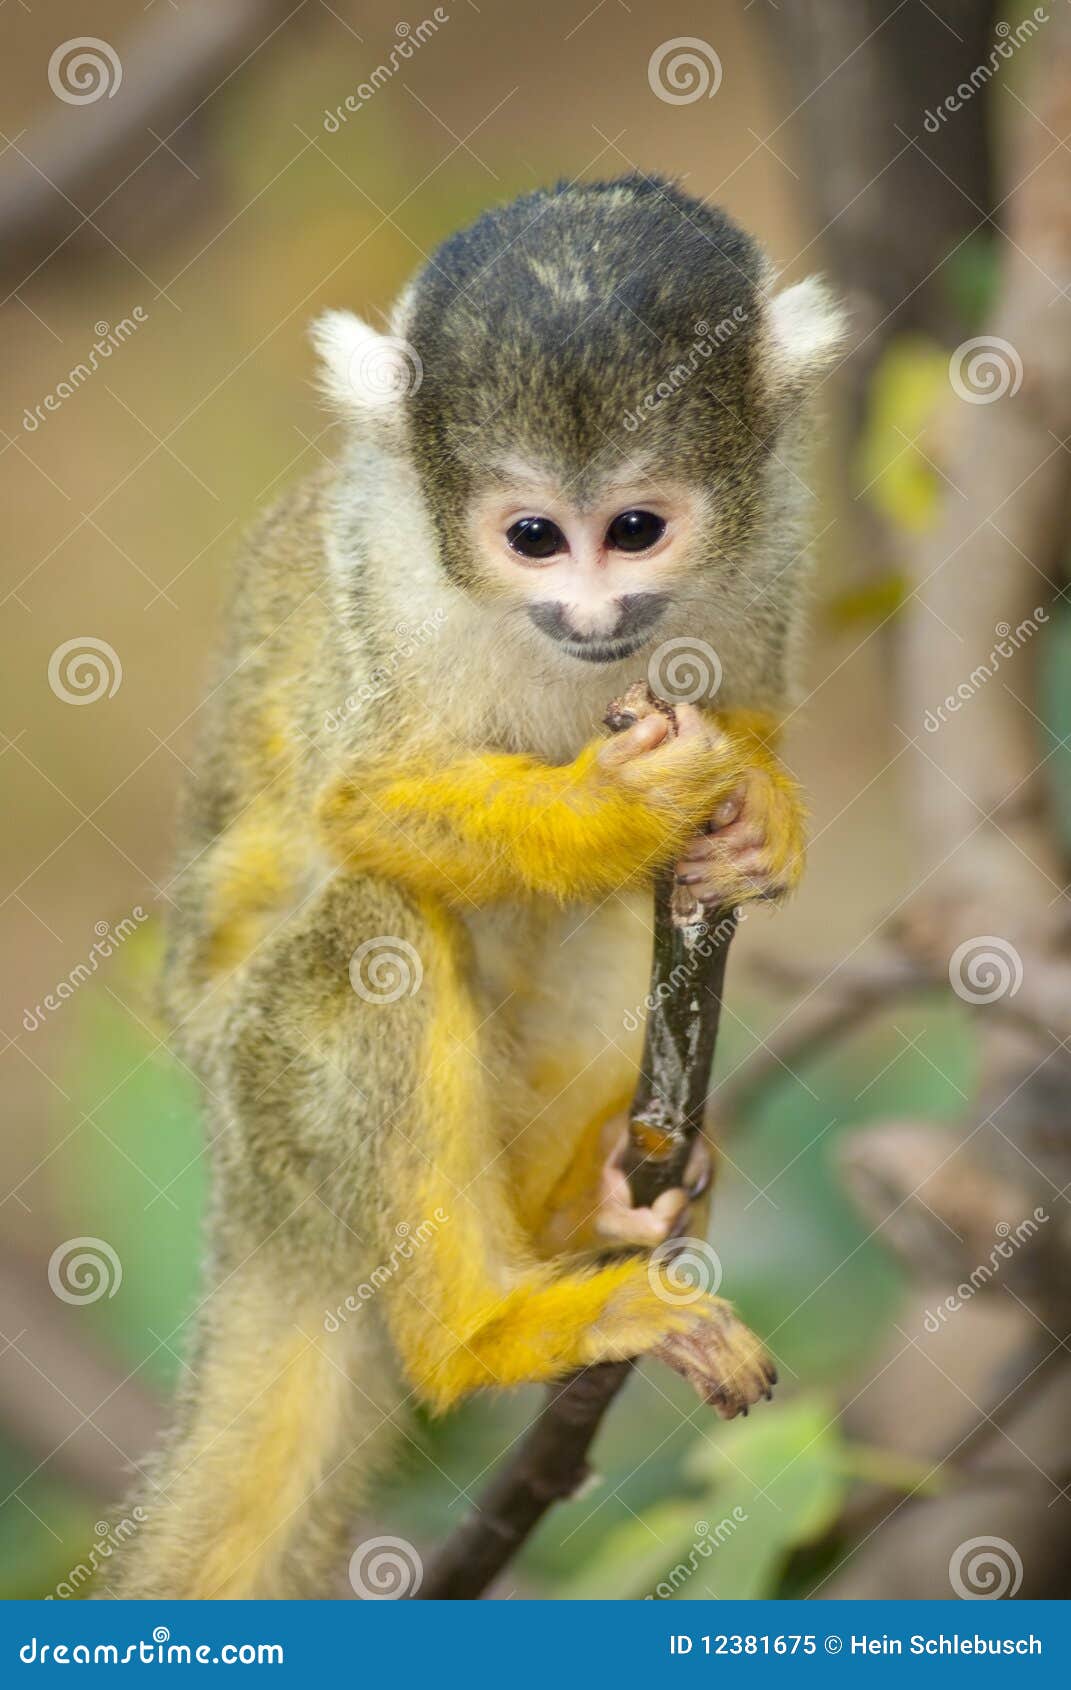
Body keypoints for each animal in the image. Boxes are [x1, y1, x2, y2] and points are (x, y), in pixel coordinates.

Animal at [105, 174, 844, 1599]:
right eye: (532, 538)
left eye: (635, 529)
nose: (594, 614)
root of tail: (247, 1200)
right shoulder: (391, 585)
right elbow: (365, 804)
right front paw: (630, 805)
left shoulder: (778, 528)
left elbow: (756, 722)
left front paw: (761, 815)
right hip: (268, 1107)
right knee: (369, 927)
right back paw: (489, 1329)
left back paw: (601, 1198)